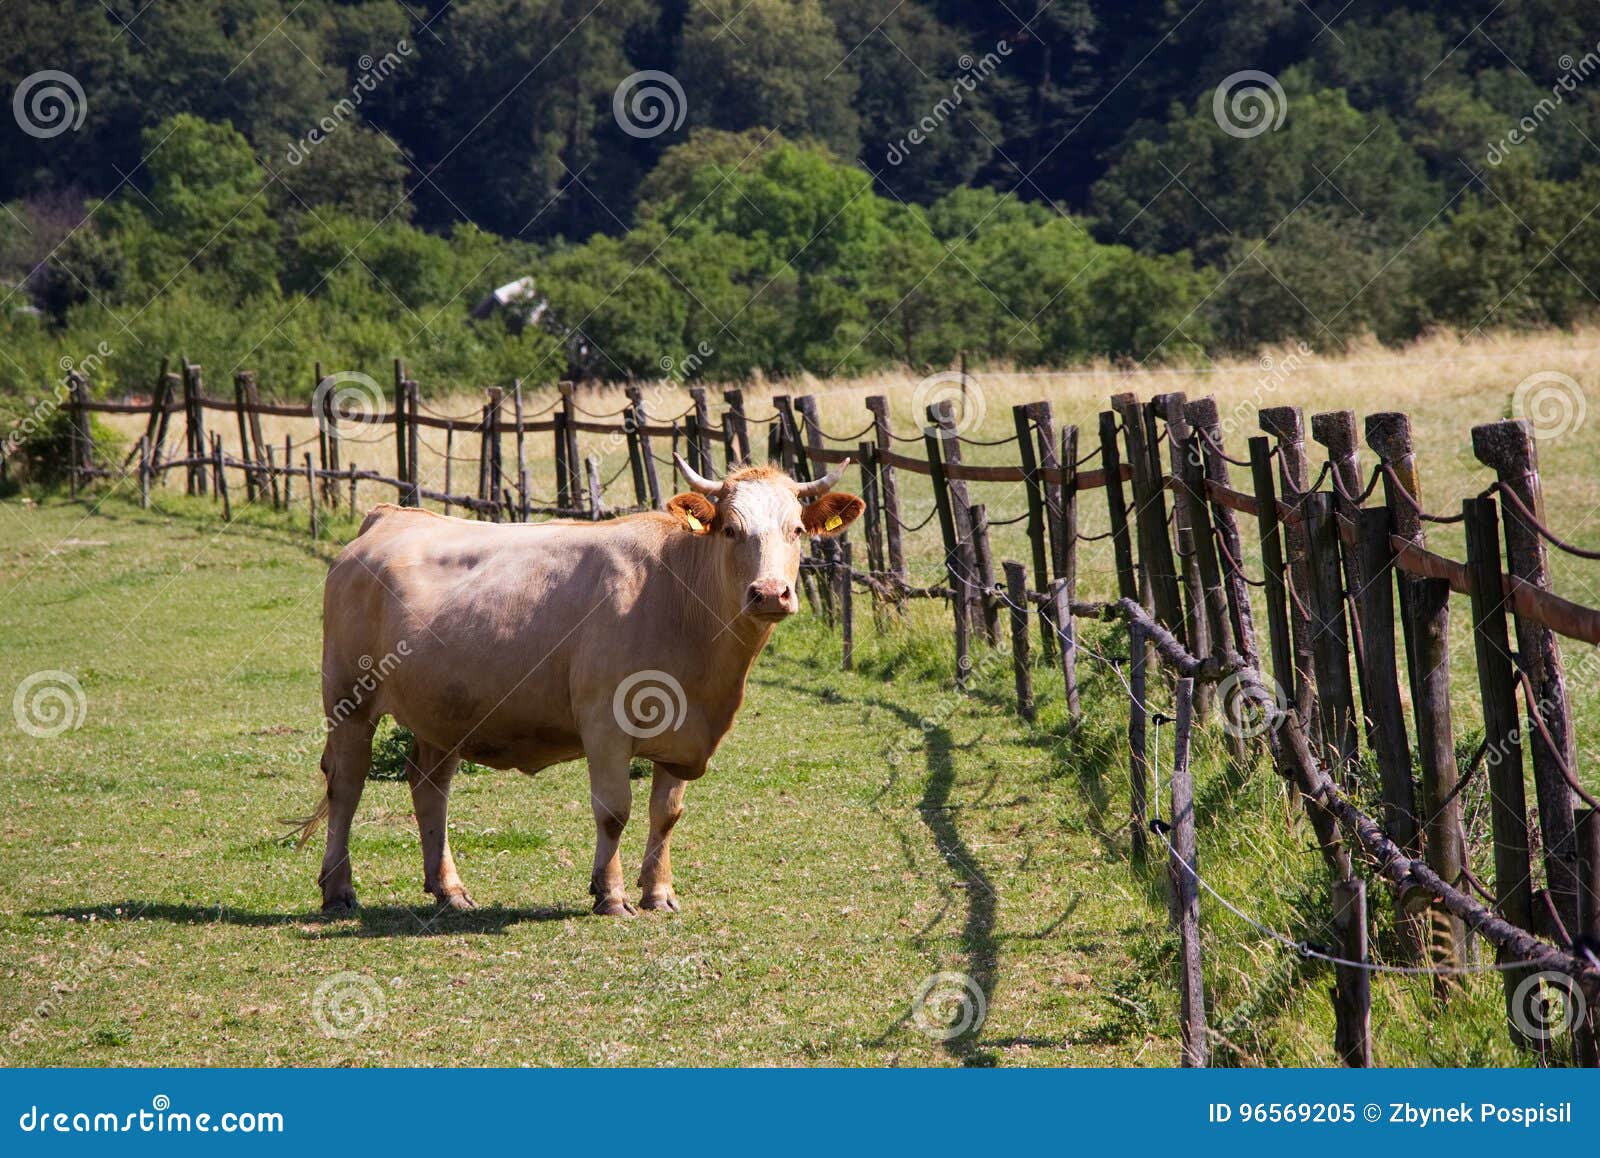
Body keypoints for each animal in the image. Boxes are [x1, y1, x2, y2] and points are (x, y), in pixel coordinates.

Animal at [297, 455, 863, 916]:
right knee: (346, 784)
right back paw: (339, 890)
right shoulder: (605, 723)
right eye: (729, 530)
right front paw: (609, 894)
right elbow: (614, 811)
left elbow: (666, 814)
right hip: (349, 699)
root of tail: (392, 516)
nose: (770, 592)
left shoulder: (682, 734)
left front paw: (659, 893)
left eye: (796, 529)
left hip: (441, 709)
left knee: (429, 785)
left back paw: (449, 889)